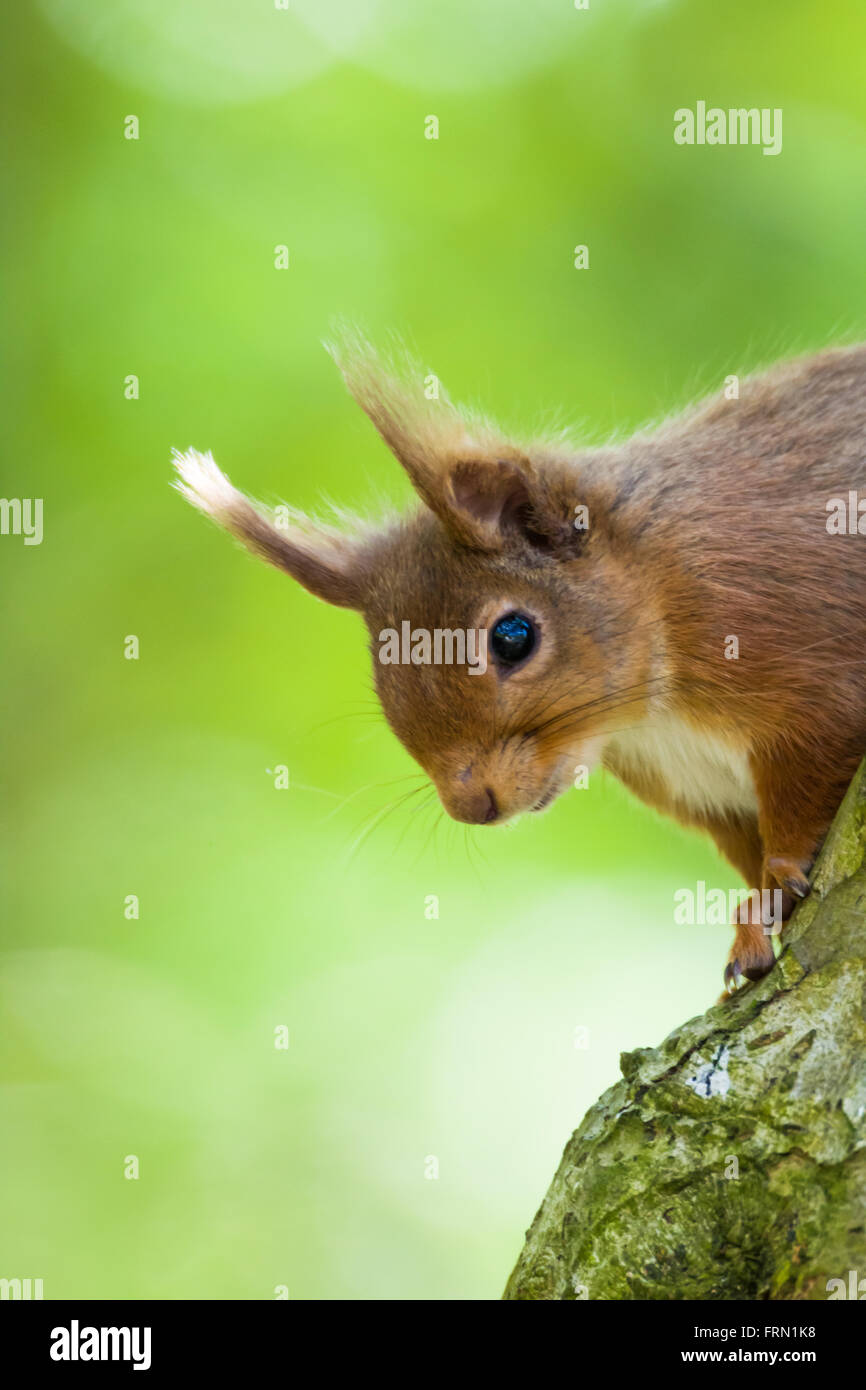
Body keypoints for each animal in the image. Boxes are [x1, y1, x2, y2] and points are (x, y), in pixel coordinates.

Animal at [173, 334, 866, 998]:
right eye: (377, 668)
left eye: (513, 636)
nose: (471, 806)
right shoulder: (704, 795)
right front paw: (752, 919)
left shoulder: (797, 657)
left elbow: (803, 792)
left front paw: (773, 885)